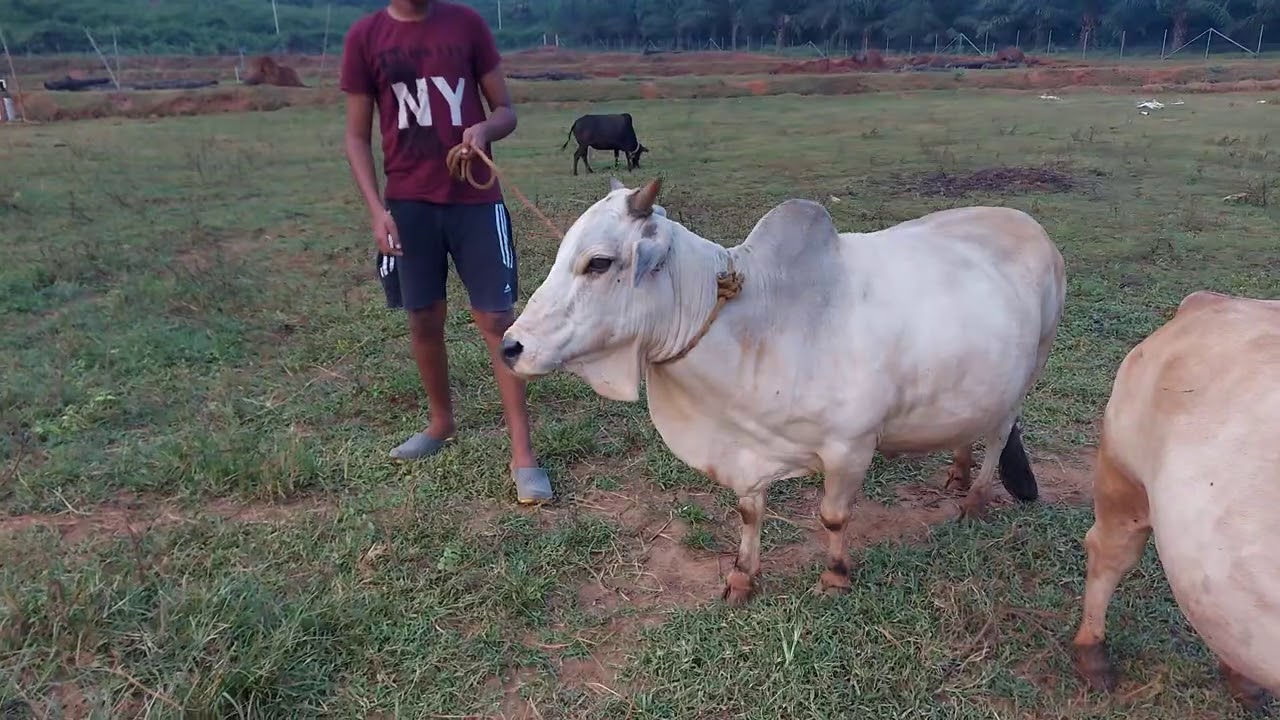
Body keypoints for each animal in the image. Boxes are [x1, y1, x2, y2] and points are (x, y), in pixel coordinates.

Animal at [500, 177, 1066, 605]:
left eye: (598, 262)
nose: (510, 346)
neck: (758, 320)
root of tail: (1029, 224)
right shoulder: (747, 451)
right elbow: (750, 513)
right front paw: (741, 577)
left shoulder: (850, 446)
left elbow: (833, 517)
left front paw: (835, 576)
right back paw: (957, 471)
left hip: (1031, 368)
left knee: (999, 435)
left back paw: (974, 500)